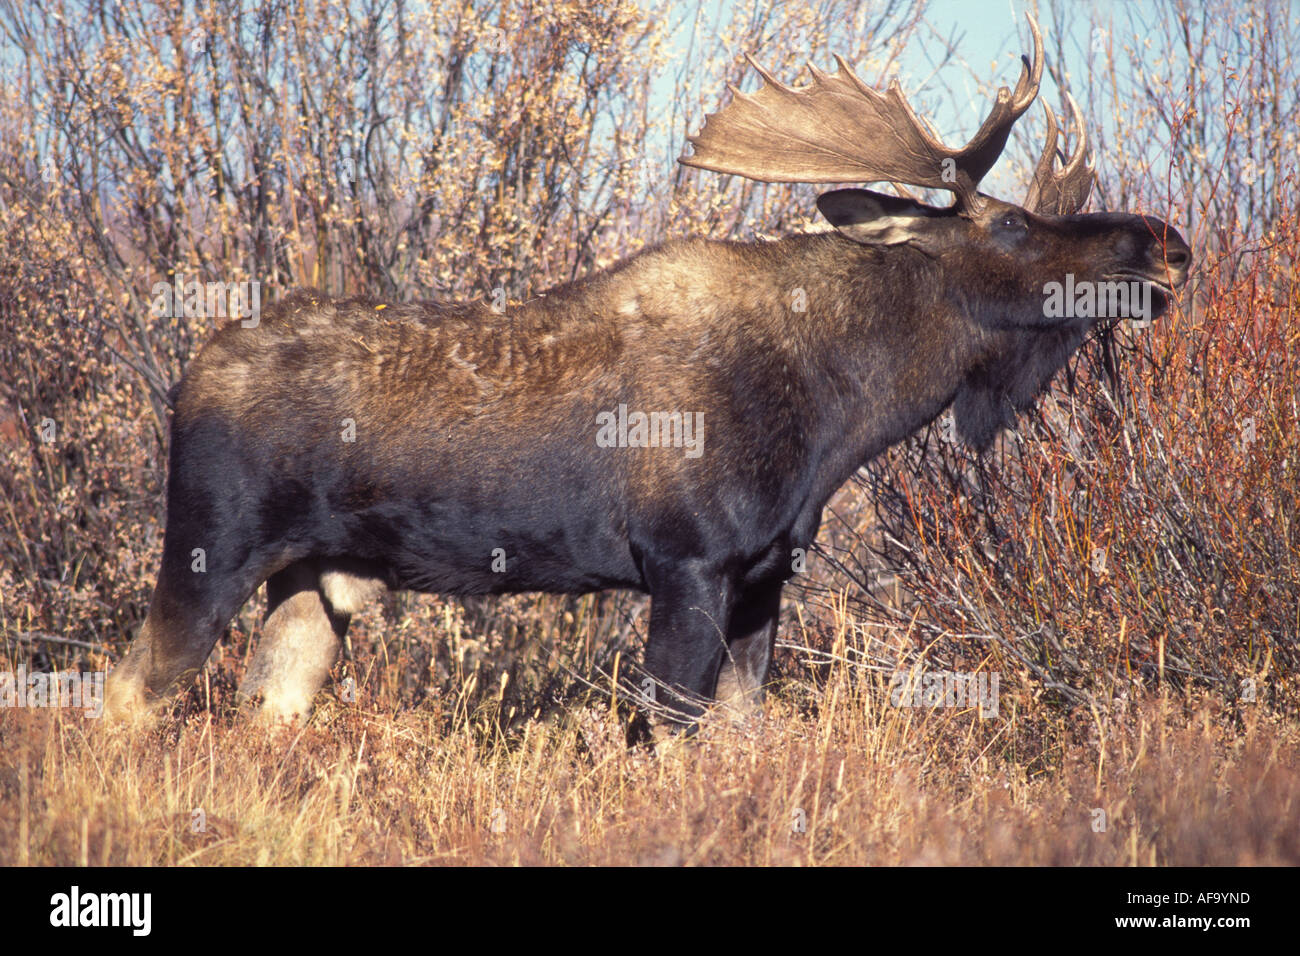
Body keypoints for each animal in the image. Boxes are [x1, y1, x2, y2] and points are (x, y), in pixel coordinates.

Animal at [103, 15, 1190, 732]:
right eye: (1008, 224)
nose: (1168, 242)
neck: (839, 411)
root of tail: (188, 371)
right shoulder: (685, 558)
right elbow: (672, 730)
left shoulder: (764, 572)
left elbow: (742, 732)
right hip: (210, 544)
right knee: (127, 691)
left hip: (318, 575)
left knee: (265, 703)